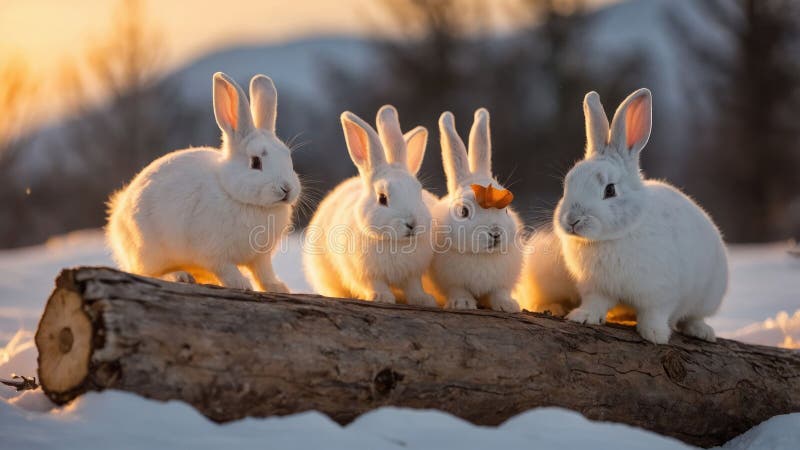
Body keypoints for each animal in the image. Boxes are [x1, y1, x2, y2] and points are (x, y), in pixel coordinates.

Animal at [106, 72, 301, 292]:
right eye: (255, 162)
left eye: (287, 156)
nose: (287, 188)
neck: (233, 194)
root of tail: (116, 218)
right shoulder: (213, 253)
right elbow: (226, 269)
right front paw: (242, 284)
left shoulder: (260, 258)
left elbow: (264, 273)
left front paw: (278, 288)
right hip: (147, 250)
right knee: (148, 273)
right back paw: (180, 276)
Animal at [303, 105, 438, 307]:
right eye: (382, 198)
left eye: (419, 192)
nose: (412, 223)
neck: (394, 242)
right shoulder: (366, 273)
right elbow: (376, 284)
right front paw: (382, 297)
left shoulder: (412, 274)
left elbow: (414, 287)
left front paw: (423, 300)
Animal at [426, 109, 523, 312]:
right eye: (463, 212)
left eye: (506, 211)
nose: (495, 233)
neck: (481, 255)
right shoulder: (451, 281)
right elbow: (458, 290)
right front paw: (461, 304)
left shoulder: (502, 282)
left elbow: (499, 292)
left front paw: (507, 305)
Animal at [554, 88, 728, 344]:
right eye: (568, 183)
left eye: (610, 190)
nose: (572, 220)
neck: (614, 237)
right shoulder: (596, 287)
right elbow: (595, 304)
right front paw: (582, 317)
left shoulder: (660, 293)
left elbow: (654, 313)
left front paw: (655, 334)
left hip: (707, 295)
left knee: (693, 317)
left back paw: (702, 331)